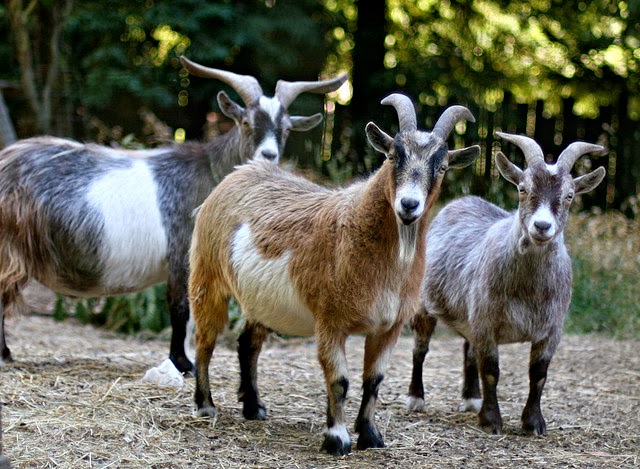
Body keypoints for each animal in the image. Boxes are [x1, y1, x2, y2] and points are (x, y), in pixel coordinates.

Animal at [0, 56, 347, 377]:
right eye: (246, 122)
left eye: (285, 128)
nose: (268, 155)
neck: (212, 175)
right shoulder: (184, 256)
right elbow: (182, 309)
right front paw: (183, 364)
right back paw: (5, 354)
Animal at [187, 93, 480, 455]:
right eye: (392, 156)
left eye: (441, 167)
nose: (409, 205)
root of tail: (238, 173)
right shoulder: (330, 320)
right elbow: (339, 381)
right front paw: (337, 438)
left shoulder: (390, 326)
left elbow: (374, 380)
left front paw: (370, 435)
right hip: (206, 276)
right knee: (205, 340)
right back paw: (205, 405)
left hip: (260, 300)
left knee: (247, 343)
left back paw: (254, 407)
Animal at [407, 132, 606, 435]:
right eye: (523, 189)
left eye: (569, 196)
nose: (542, 226)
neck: (529, 290)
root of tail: (463, 201)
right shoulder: (487, 323)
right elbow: (491, 370)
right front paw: (491, 421)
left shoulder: (551, 330)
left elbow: (538, 375)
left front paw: (533, 423)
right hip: (425, 305)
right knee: (421, 348)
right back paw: (416, 398)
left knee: (468, 350)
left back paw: (471, 399)